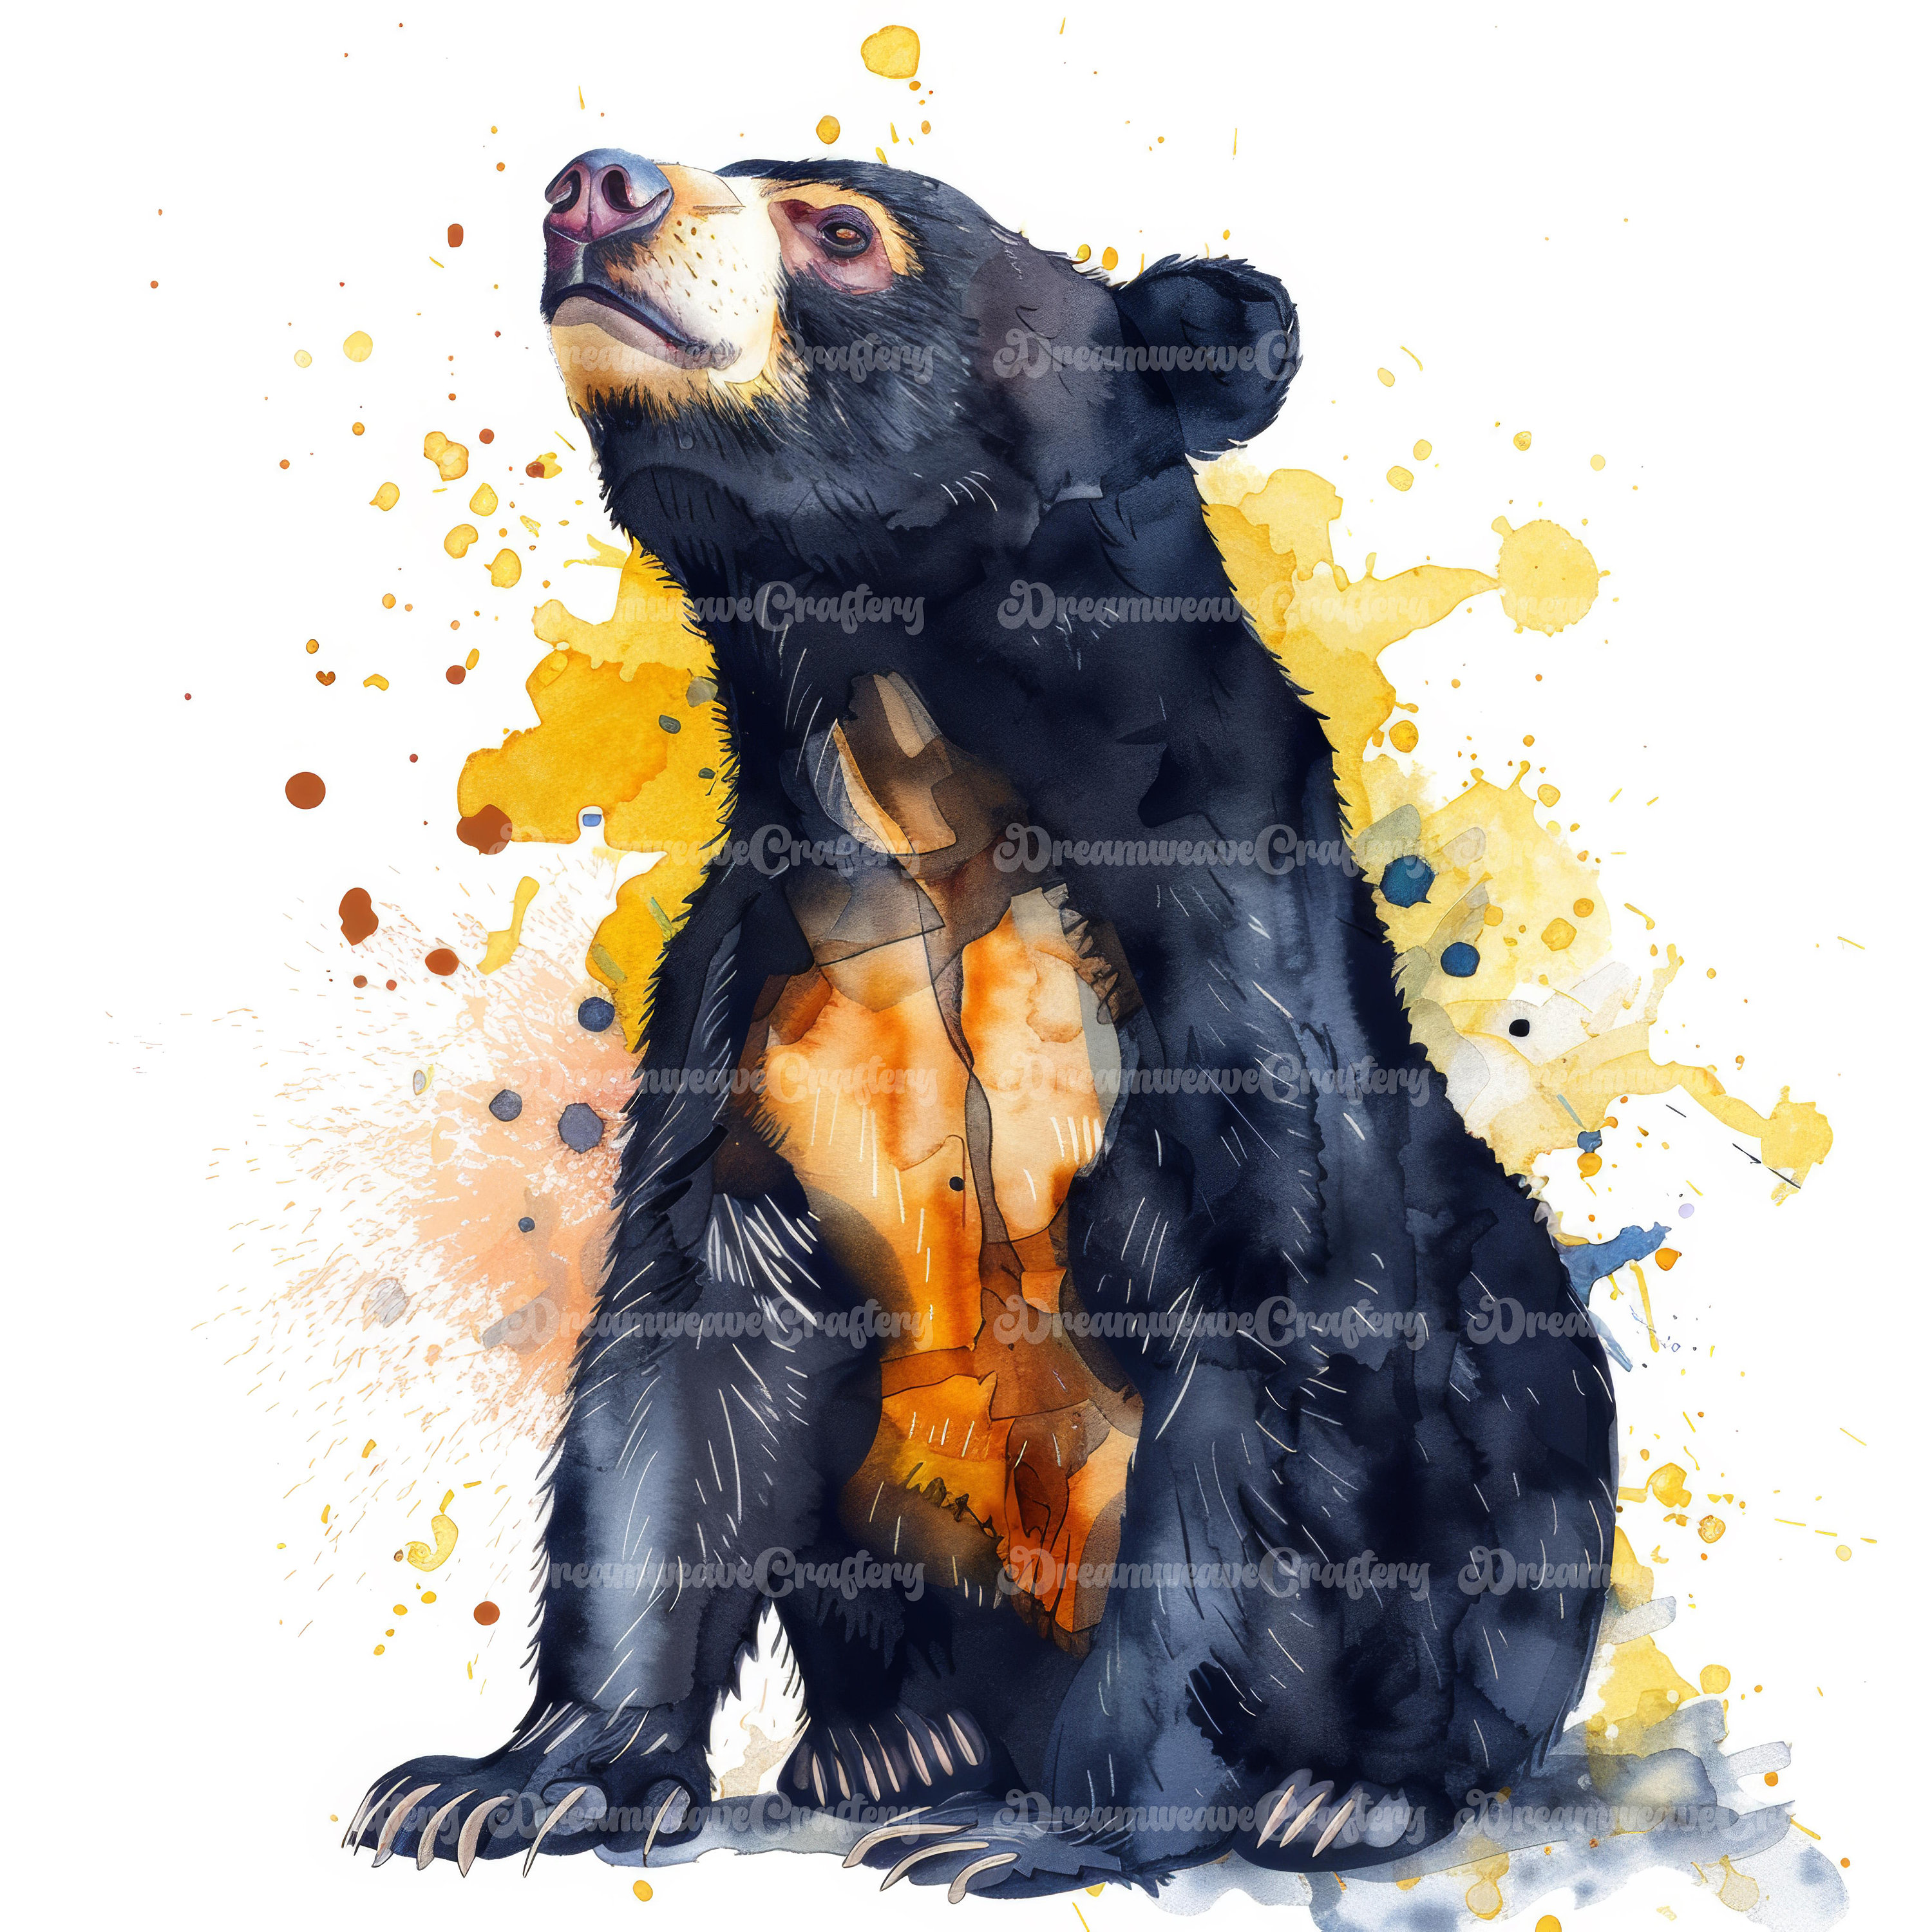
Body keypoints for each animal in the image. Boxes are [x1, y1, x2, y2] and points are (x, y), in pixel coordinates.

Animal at [348, 149, 1617, 1899]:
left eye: (841, 231)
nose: (591, 189)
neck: (913, 736)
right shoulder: (767, 976)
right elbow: (687, 1345)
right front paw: (507, 1783)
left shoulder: (1225, 955)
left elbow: (1265, 1324)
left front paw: (1047, 1824)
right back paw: (895, 1740)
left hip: (1514, 1371)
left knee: (1512, 1448)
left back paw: (1337, 1790)